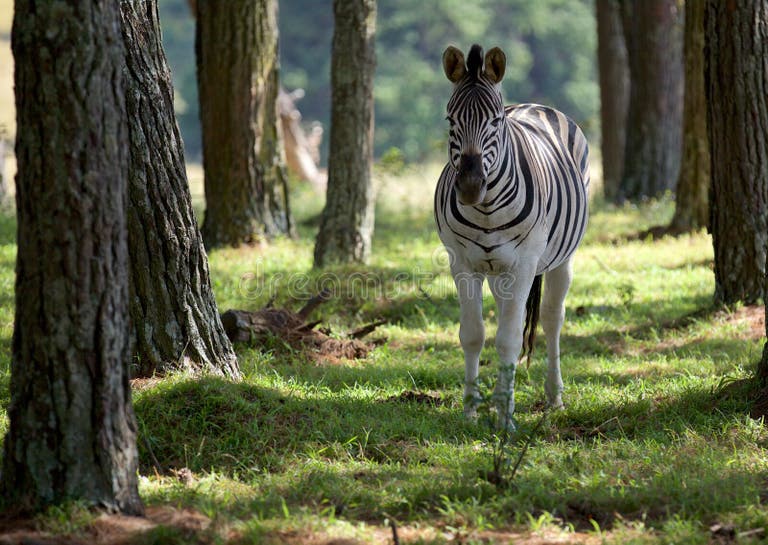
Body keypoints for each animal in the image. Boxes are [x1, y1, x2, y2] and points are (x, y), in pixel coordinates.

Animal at [434, 44, 590, 430]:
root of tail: (533, 105)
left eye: (495, 122)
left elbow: (508, 340)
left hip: (559, 259)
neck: (487, 209)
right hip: (497, 270)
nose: (470, 188)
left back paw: (554, 397)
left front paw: (506, 418)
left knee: (551, 317)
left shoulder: (523, 264)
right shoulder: (462, 263)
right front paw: (472, 410)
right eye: (450, 121)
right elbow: (473, 334)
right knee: (511, 314)